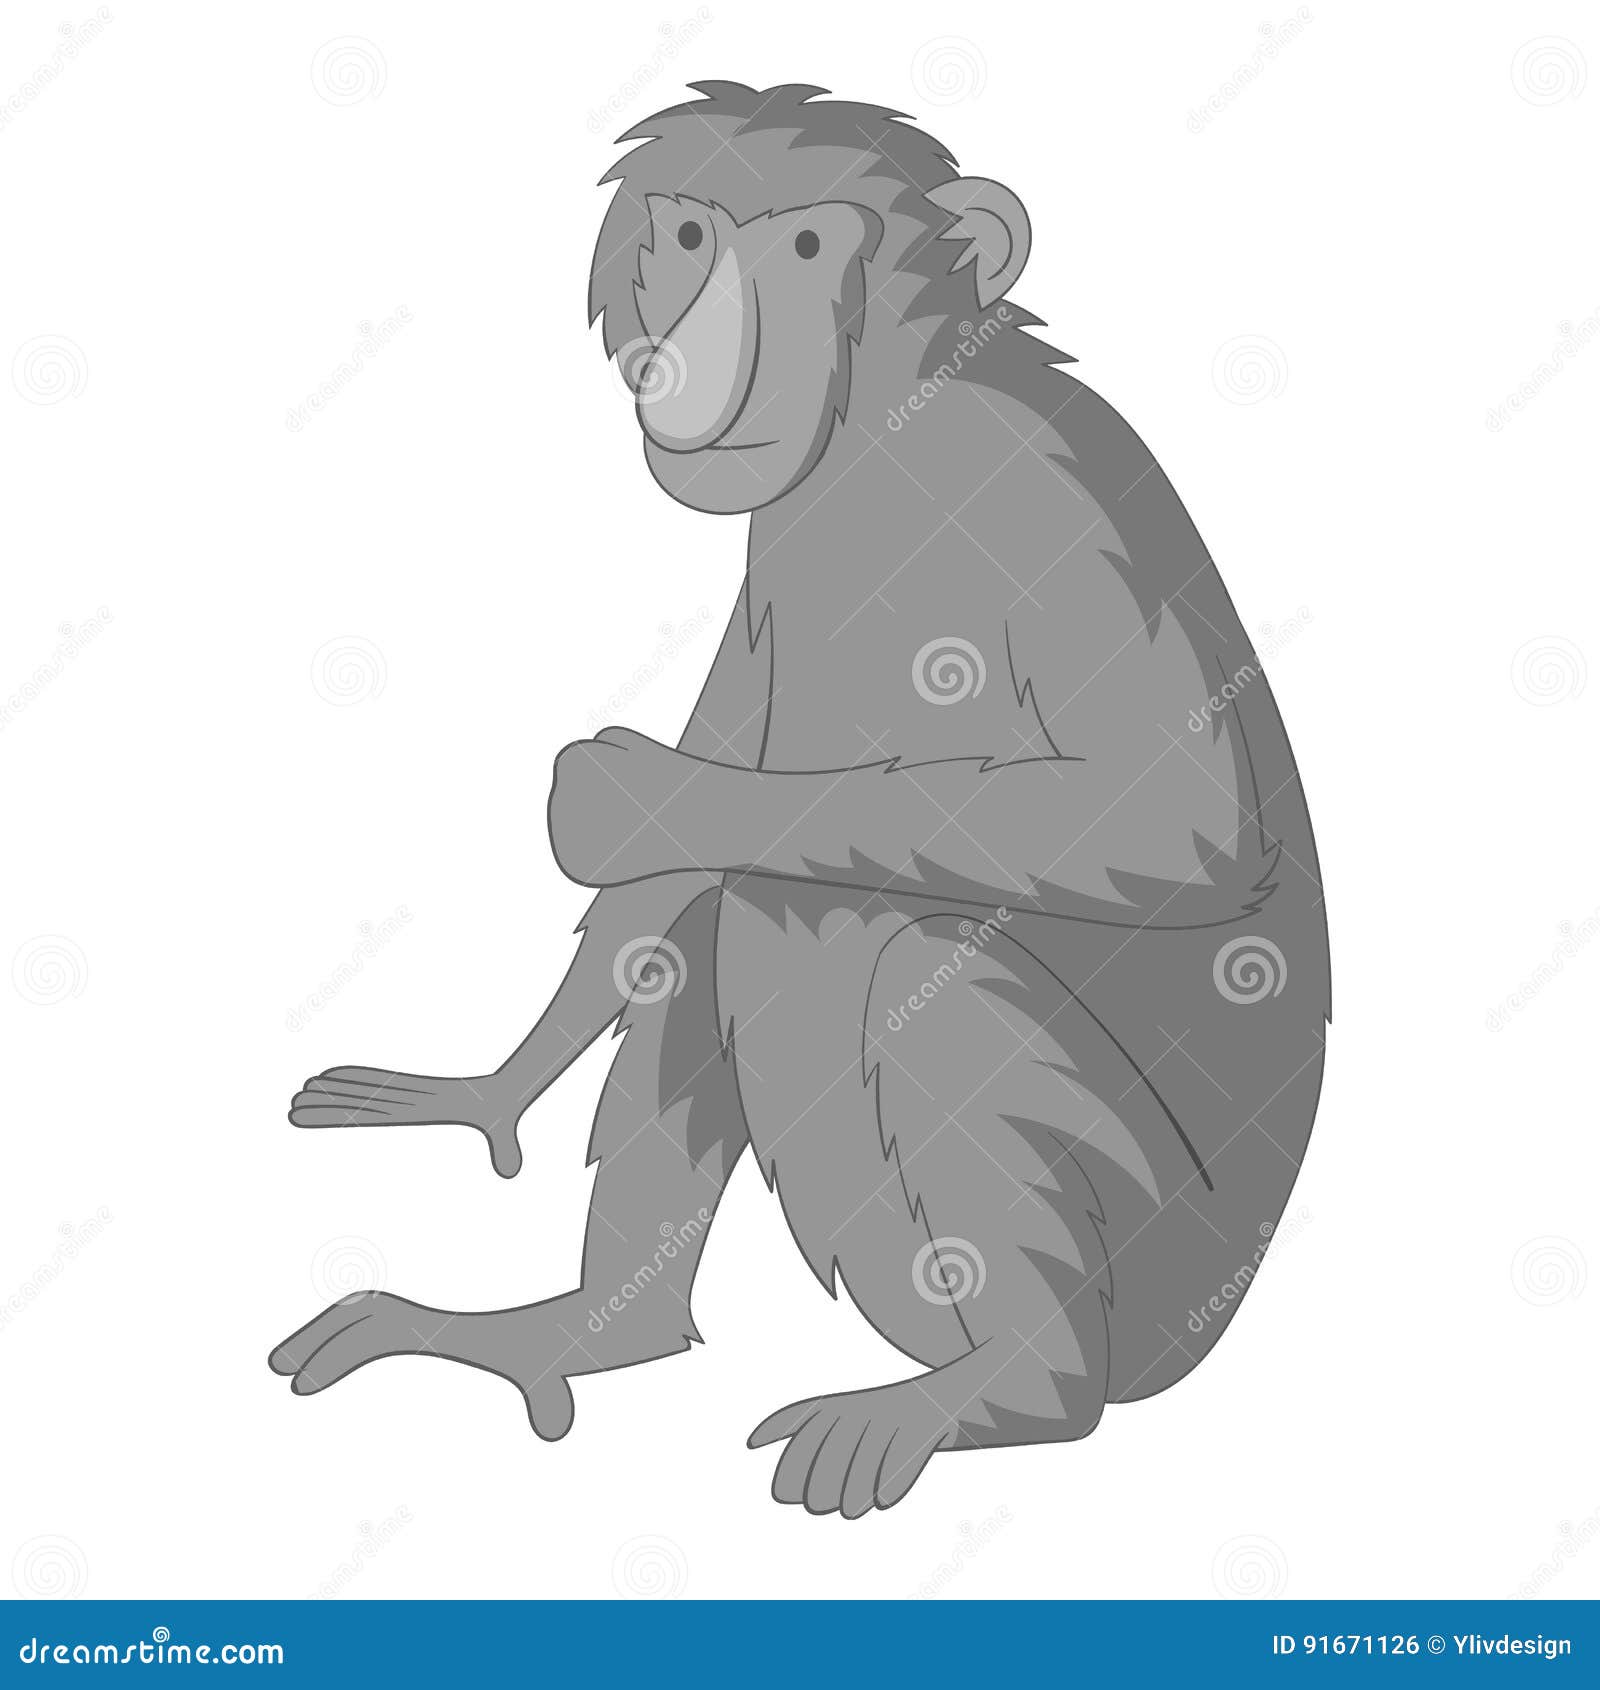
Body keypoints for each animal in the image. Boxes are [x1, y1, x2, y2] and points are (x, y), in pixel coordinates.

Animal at [270, 83, 1330, 1518]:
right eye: (690, 234)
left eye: (815, 249)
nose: (702, 348)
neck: (884, 448)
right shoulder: (770, 552)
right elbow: (676, 870)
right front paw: (488, 1089)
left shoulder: (1050, 499)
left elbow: (1165, 818)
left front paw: (622, 795)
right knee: (725, 915)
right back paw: (584, 1331)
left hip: (1159, 1289)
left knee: (901, 946)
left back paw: (1000, 1386)